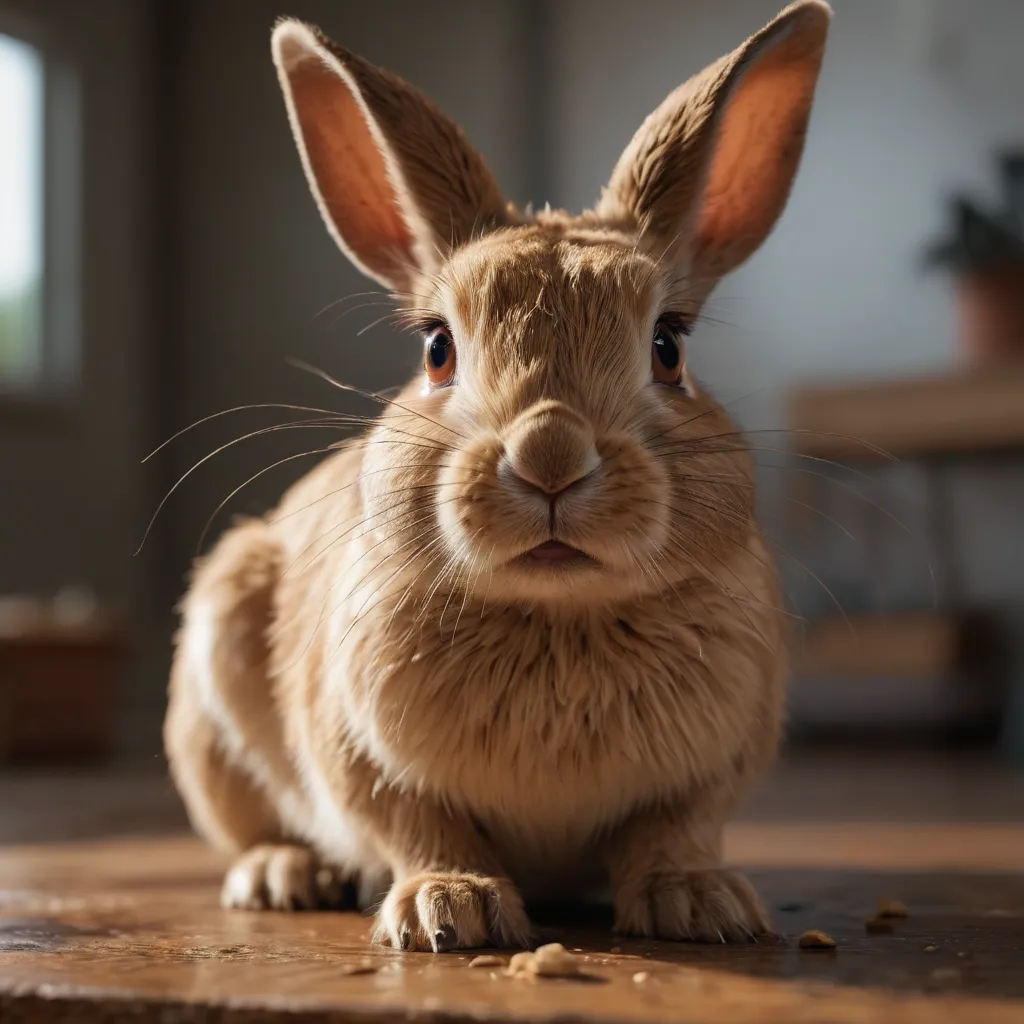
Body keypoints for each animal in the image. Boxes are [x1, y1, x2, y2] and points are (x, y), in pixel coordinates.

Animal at [164, 1, 830, 953]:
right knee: (253, 826)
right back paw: (281, 877)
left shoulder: (710, 772)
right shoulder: (364, 756)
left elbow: (673, 831)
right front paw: (450, 910)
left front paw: (703, 903)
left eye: (669, 347)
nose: (550, 455)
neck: (555, 613)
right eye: (437, 349)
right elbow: (416, 824)